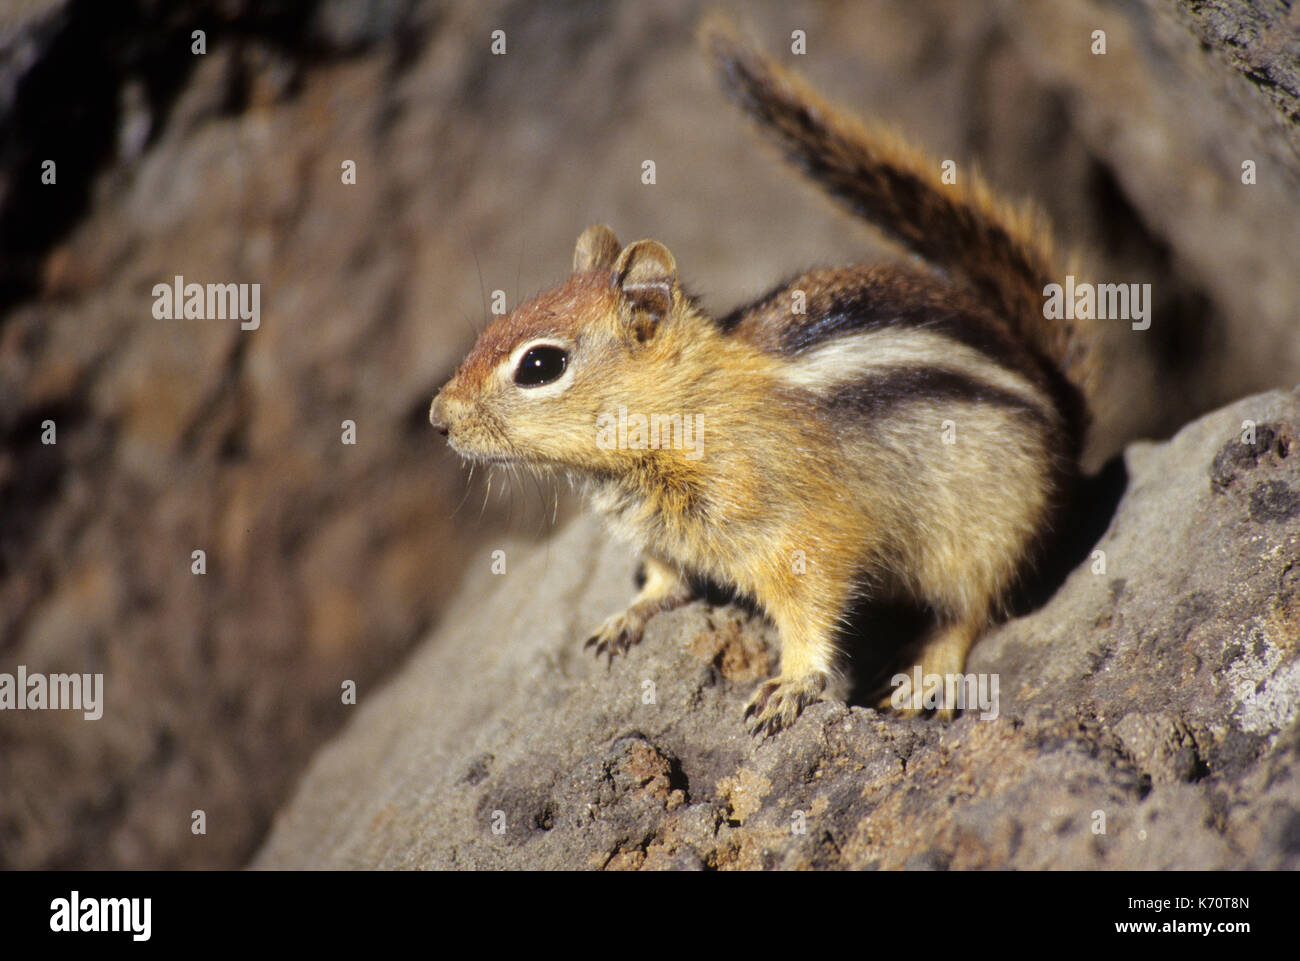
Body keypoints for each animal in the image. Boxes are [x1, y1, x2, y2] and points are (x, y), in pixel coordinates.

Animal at [430, 18, 1094, 736]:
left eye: (540, 364)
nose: (438, 418)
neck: (686, 414)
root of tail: (1059, 406)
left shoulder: (805, 535)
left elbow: (810, 611)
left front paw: (791, 682)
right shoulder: (661, 536)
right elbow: (666, 579)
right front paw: (628, 614)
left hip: (981, 536)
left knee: (969, 612)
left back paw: (927, 675)